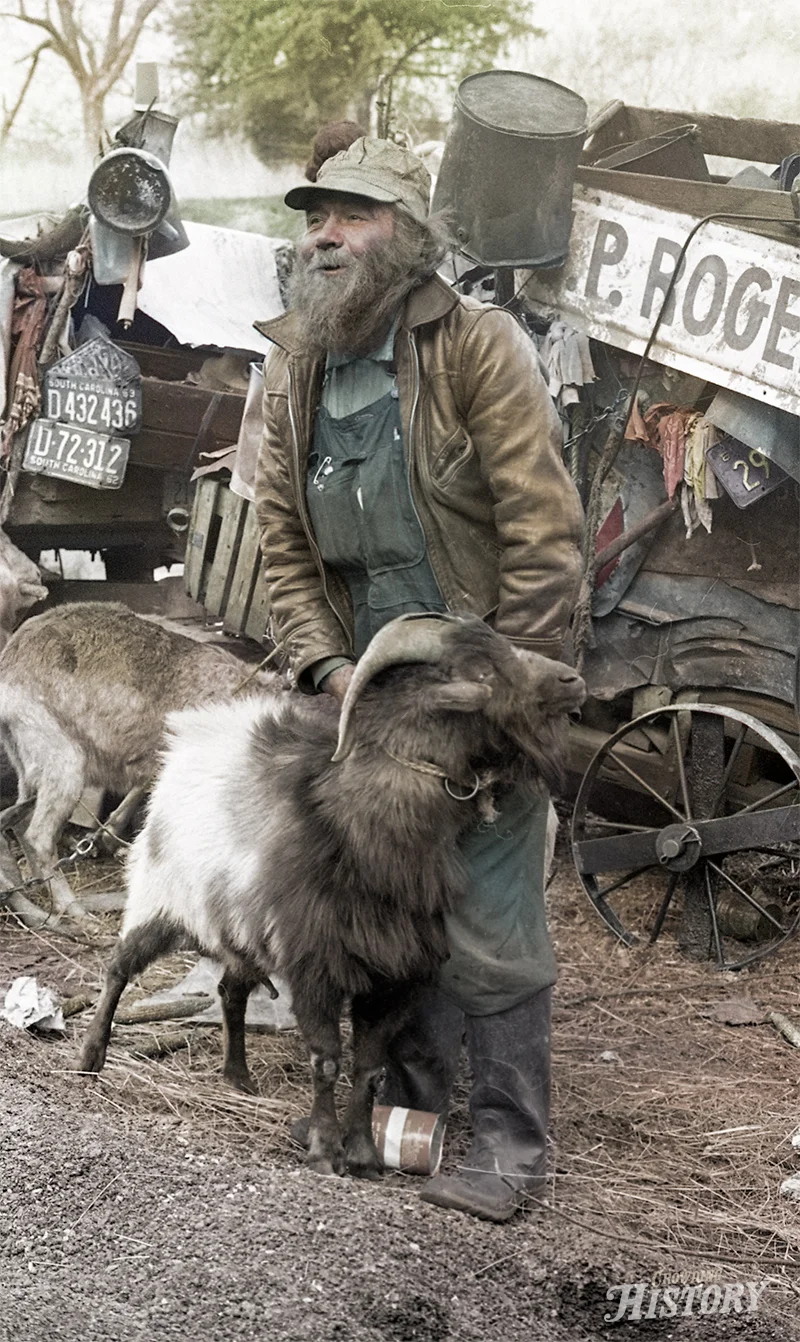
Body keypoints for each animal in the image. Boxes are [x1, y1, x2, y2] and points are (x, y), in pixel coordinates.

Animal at [0, 601, 283, 919]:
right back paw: (72, 908)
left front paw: (110, 835)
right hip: (60, 757)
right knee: (38, 836)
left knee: (19, 822)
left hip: (27, 759)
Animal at [78, 613, 585, 1179]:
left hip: (242, 928)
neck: (360, 824)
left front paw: (363, 1153)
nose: (573, 681)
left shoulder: (396, 974)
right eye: (482, 671)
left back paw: (237, 1074)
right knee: (119, 968)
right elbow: (326, 1061)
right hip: (160, 897)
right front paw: (324, 1149)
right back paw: (91, 1057)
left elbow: (368, 1068)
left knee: (230, 991)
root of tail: (193, 731)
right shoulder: (315, 965)